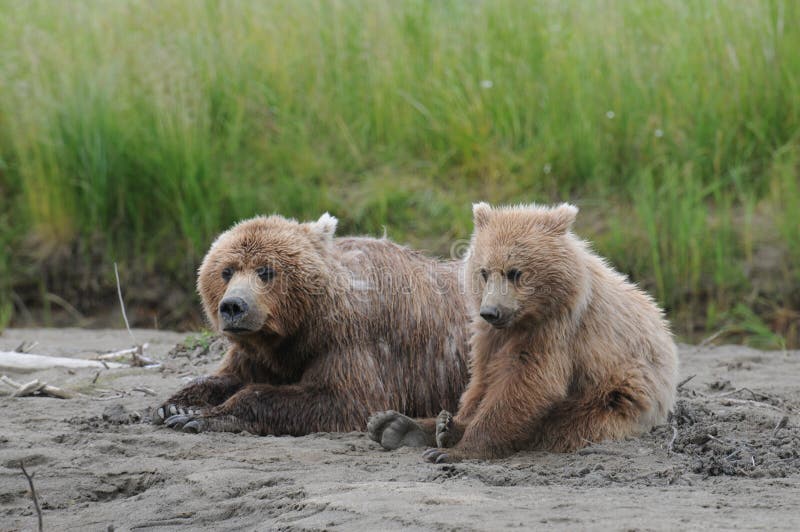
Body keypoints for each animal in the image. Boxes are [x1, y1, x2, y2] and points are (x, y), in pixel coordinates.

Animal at [153, 213, 470, 436]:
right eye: (226, 271)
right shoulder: (264, 351)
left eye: (265, 270)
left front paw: (198, 417)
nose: (233, 306)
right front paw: (176, 405)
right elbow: (231, 375)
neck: (301, 325)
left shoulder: (352, 340)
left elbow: (342, 399)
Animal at [368, 202, 679, 462]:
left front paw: (455, 450)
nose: (491, 311)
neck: (529, 315)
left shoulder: (556, 331)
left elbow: (528, 383)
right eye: (483, 272)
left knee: (563, 425)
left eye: (515, 271)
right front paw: (446, 426)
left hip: (612, 398)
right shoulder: (489, 336)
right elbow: (481, 380)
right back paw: (396, 424)